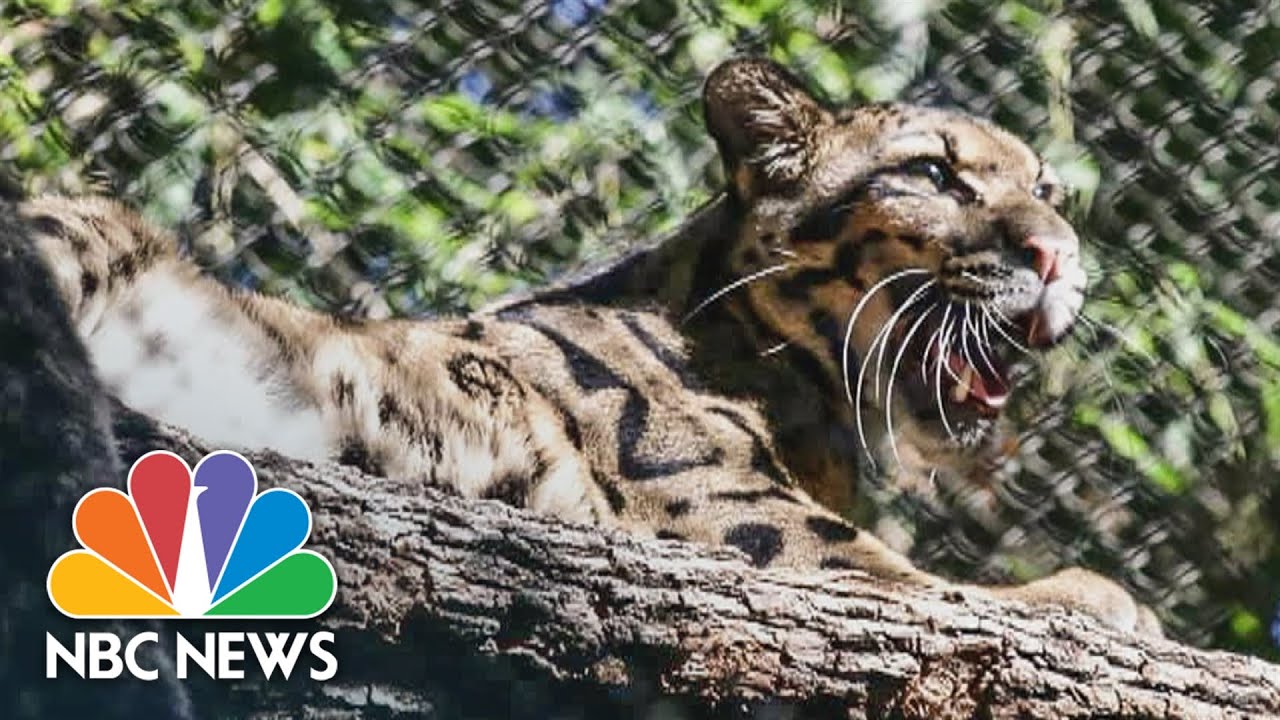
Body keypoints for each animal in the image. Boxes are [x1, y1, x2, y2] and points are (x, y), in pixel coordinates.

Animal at [14, 57, 1157, 634]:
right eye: (931, 174)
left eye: (1048, 191)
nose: (1058, 254)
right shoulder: (743, 521)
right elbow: (920, 583)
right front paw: (1099, 599)